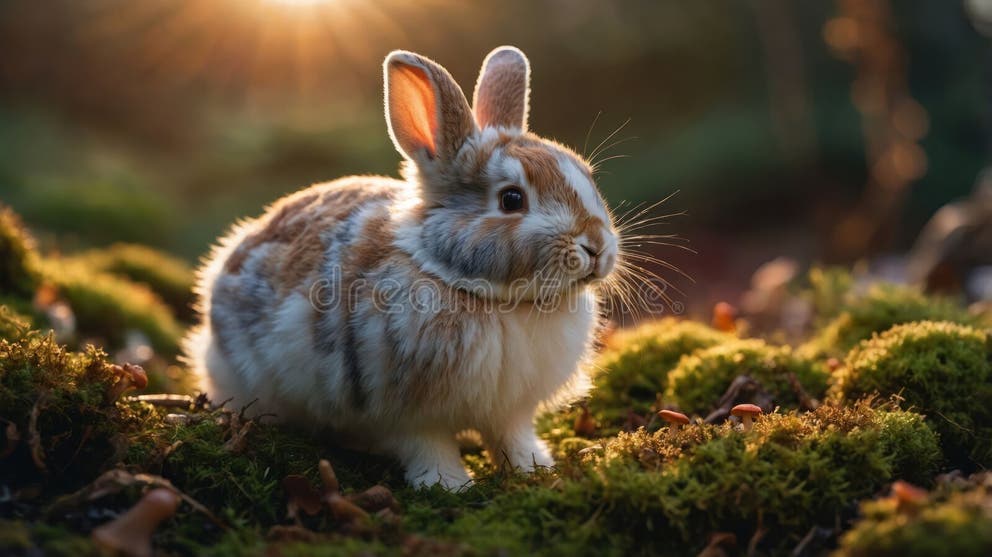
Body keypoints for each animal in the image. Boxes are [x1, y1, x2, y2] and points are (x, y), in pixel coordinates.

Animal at [183, 46, 619, 489]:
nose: (597, 247)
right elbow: (428, 445)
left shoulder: (508, 410)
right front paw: (448, 485)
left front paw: (535, 469)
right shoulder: (406, 411)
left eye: (586, 176)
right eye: (511, 199)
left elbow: (511, 437)